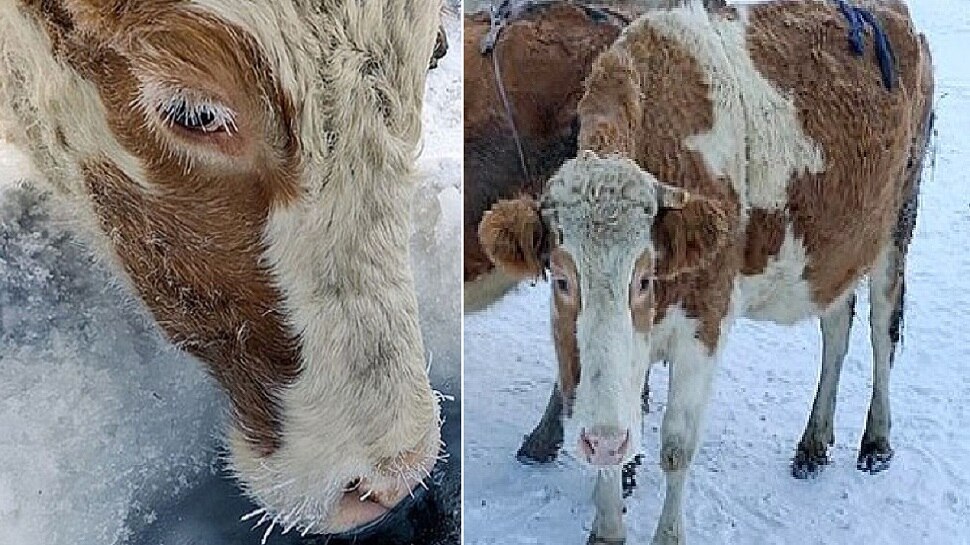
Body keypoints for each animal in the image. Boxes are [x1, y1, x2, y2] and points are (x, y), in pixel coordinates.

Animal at [476, 1, 934, 543]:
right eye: (562, 280)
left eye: (644, 278)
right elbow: (618, 426)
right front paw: (606, 525)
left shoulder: (706, 322)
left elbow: (676, 446)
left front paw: (667, 533)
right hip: (838, 247)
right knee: (837, 328)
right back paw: (814, 443)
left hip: (897, 225)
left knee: (884, 330)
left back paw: (876, 441)